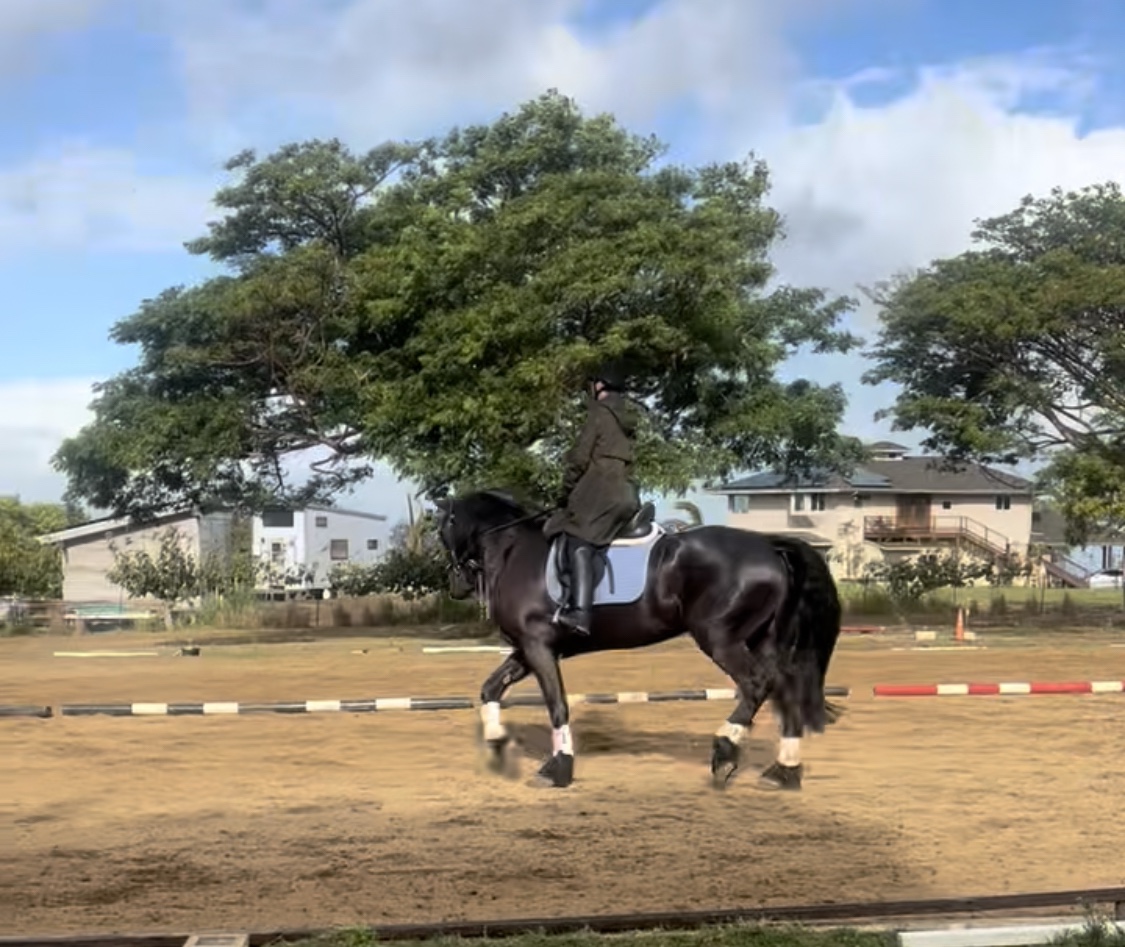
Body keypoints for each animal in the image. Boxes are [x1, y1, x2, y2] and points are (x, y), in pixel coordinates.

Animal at [433, 488, 843, 790]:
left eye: (440, 529)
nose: (457, 585)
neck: (515, 551)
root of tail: (770, 547)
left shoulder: (538, 647)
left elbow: (557, 705)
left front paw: (558, 769)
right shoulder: (526, 649)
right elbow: (490, 689)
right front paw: (497, 744)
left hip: (720, 638)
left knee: (757, 685)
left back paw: (725, 750)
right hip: (763, 639)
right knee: (784, 692)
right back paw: (783, 771)